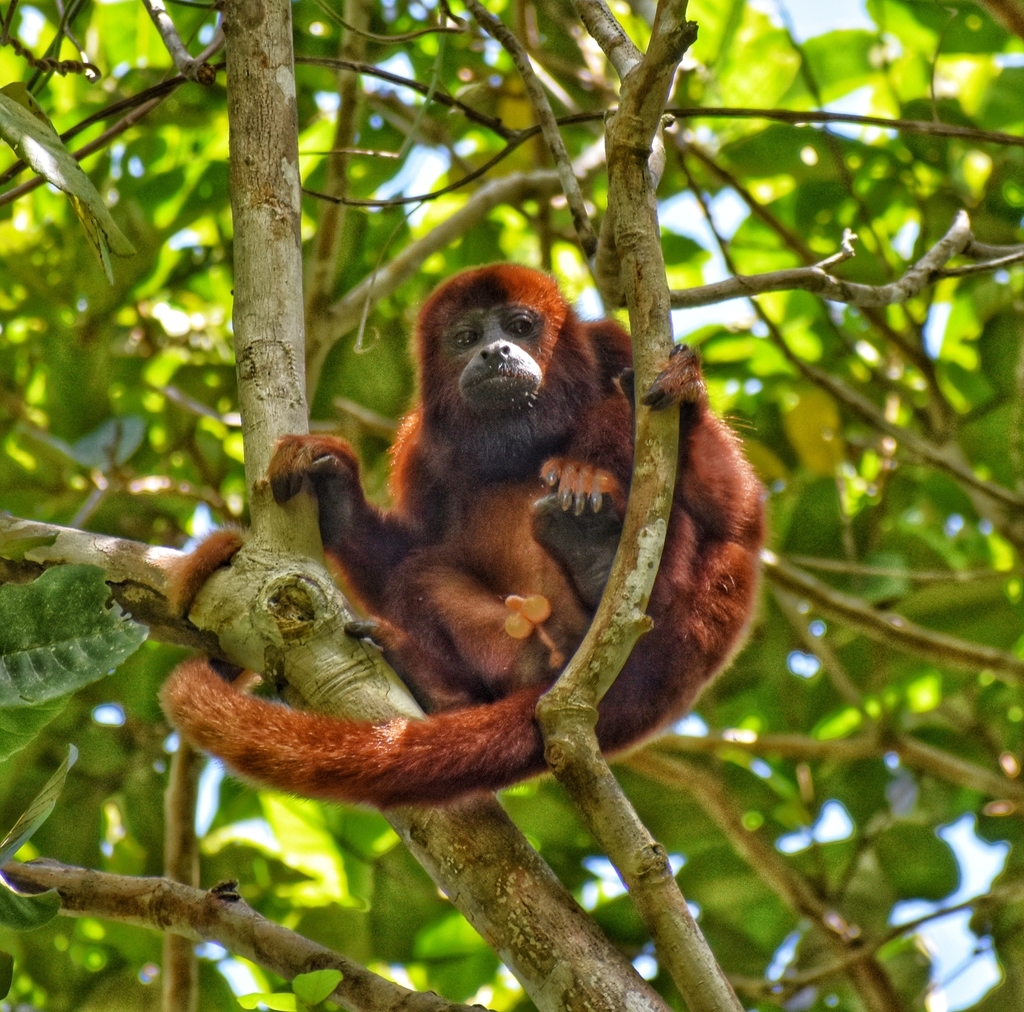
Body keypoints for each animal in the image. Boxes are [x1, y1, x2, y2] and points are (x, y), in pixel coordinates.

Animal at [160, 264, 764, 808]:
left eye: (520, 326)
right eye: (466, 338)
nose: (495, 352)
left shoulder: (618, 349)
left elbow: (738, 511)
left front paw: (684, 394)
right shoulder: (420, 445)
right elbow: (413, 551)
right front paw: (335, 495)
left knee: (630, 451)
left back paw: (593, 543)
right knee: (422, 573)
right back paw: (448, 681)